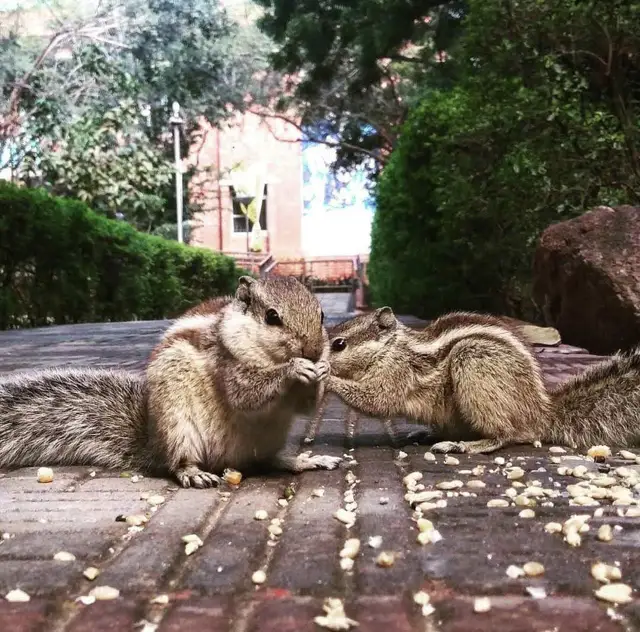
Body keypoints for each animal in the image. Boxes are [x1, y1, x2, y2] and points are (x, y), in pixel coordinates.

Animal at [0, 276, 342, 487]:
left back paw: (305, 461)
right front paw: (294, 368)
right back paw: (193, 473)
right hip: (177, 425)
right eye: (272, 317)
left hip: (266, 441)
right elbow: (245, 394)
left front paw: (323, 369)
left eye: (322, 314)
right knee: (179, 463)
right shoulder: (226, 362)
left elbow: (305, 407)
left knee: (270, 461)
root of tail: (152, 444)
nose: (314, 350)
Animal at [323, 308, 640, 454]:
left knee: (508, 434)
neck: (390, 348)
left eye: (339, 344)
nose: (317, 357)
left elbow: (377, 401)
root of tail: (542, 411)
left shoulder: (395, 373)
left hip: (473, 364)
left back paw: (469, 445)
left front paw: (327, 377)